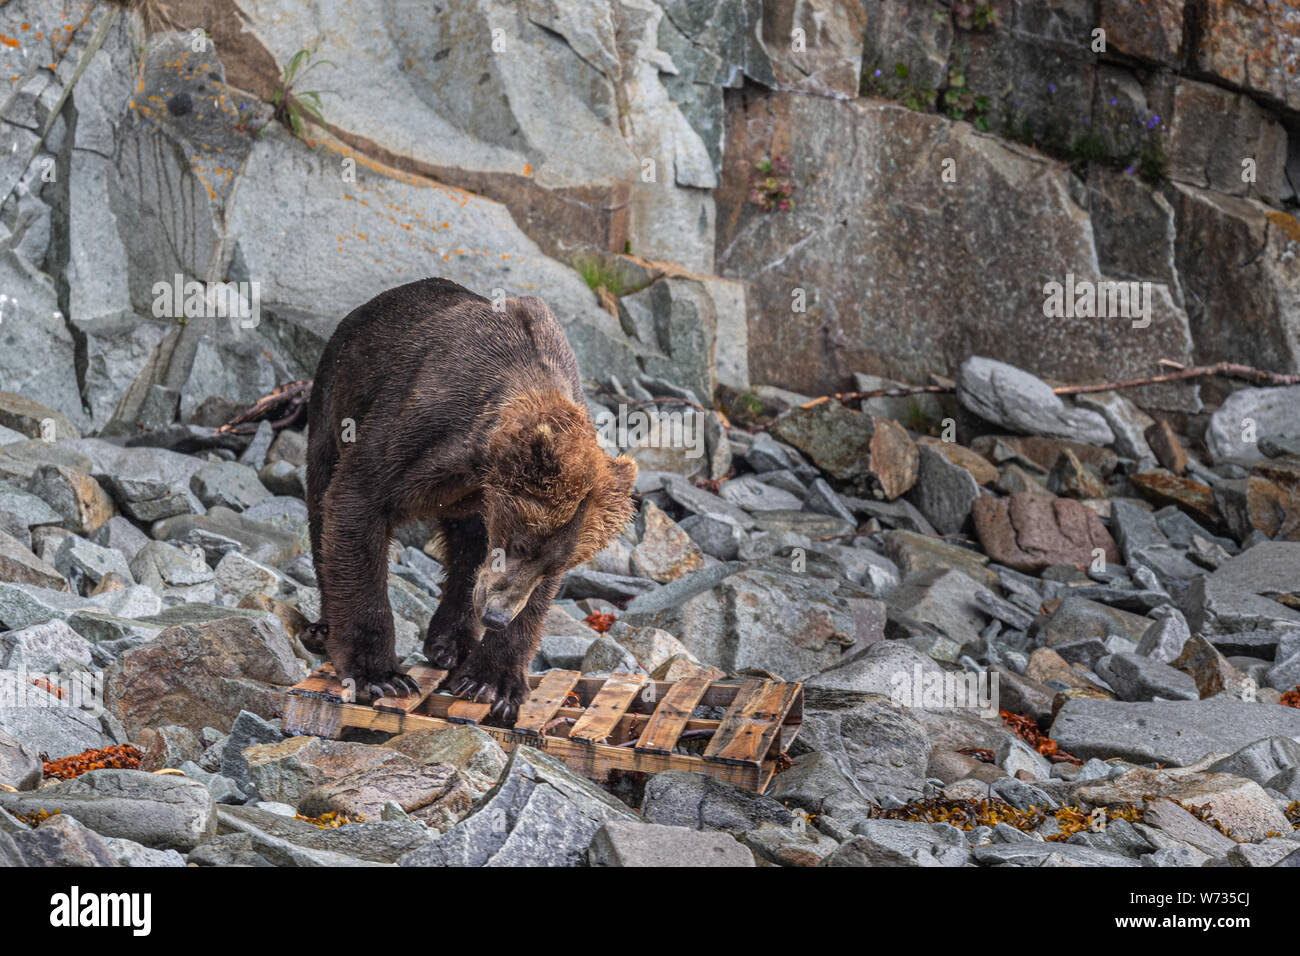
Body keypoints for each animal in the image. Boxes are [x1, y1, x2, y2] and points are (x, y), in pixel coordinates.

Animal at [305, 277, 637, 722]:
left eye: (554, 565)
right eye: (519, 543)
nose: (495, 617)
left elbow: (532, 599)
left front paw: (493, 682)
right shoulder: (421, 431)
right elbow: (356, 502)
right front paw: (380, 674)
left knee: (466, 548)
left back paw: (450, 643)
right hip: (338, 390)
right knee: (320, 497)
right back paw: (323, 627)